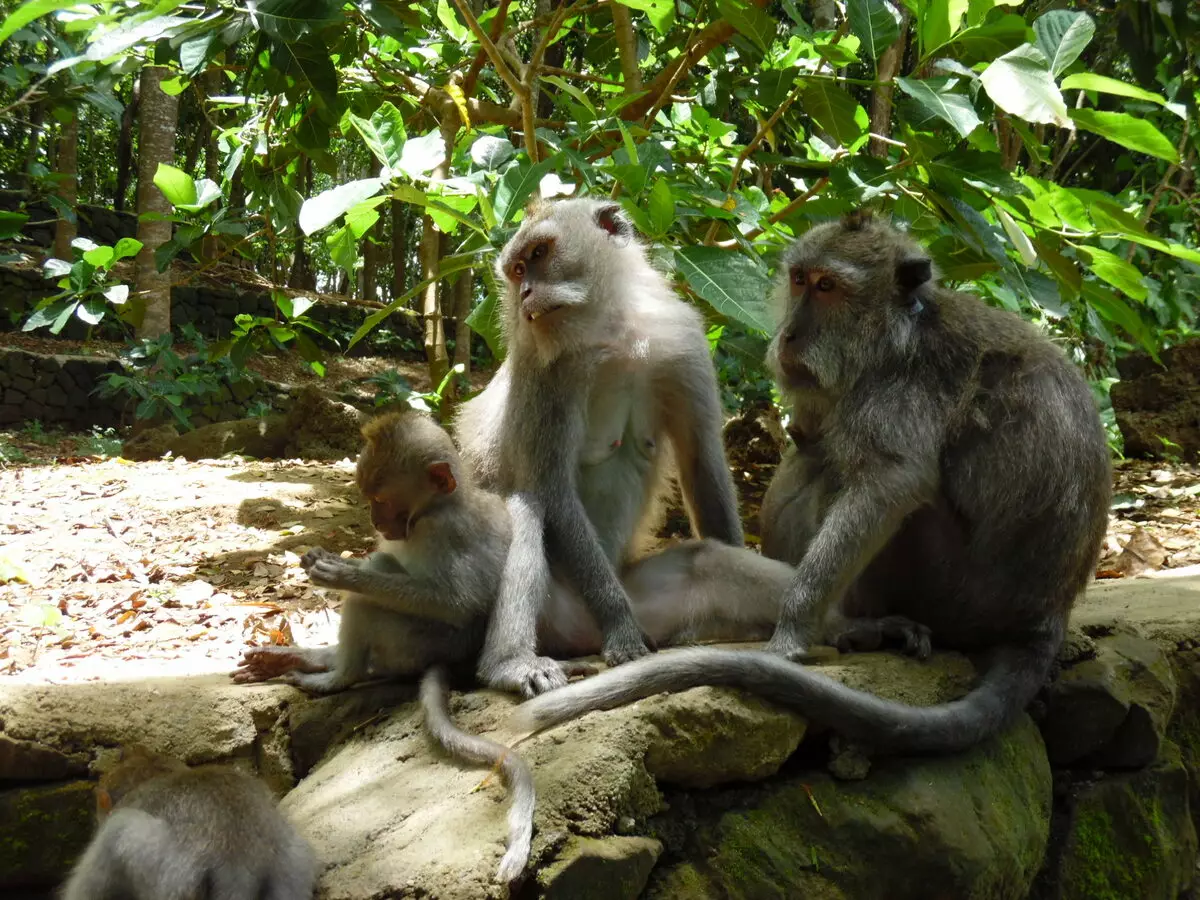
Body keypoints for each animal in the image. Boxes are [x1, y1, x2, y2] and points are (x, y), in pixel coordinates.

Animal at [453, 200, 744, 700]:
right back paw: (510, 664)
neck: (614, 332)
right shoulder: (544, 375)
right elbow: (554, 492)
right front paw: (621, 627)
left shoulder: (682, 343)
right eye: (516, 270)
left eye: (539, 252)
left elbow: (702, 461)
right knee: (526, 508)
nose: (525, 292)